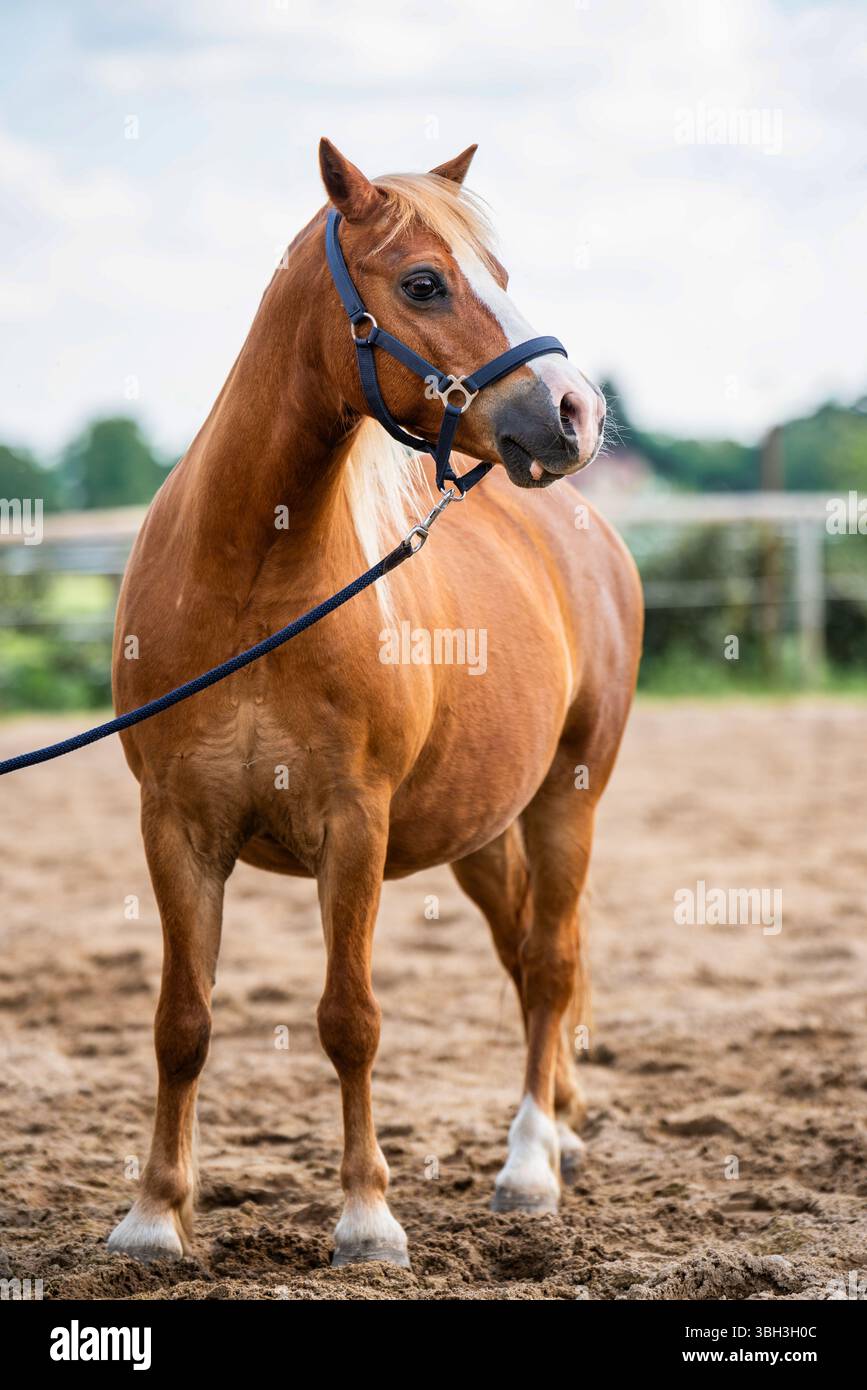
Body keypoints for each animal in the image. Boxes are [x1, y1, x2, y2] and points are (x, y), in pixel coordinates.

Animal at [107, 139, 643, 1269]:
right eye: (425, 282)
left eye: (500, 272)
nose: (575, 411)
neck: (253, 579)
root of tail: (589, 530)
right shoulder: (176, 825)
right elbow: (182, 1022)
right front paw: (154, 1214)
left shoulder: (352, 826)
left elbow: (349, 1019)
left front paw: (365, 1217)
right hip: (481, 830)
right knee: (529, 956)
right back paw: (561, 1128)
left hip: (567, 796)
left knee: (550, 961)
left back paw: (530, 1162)